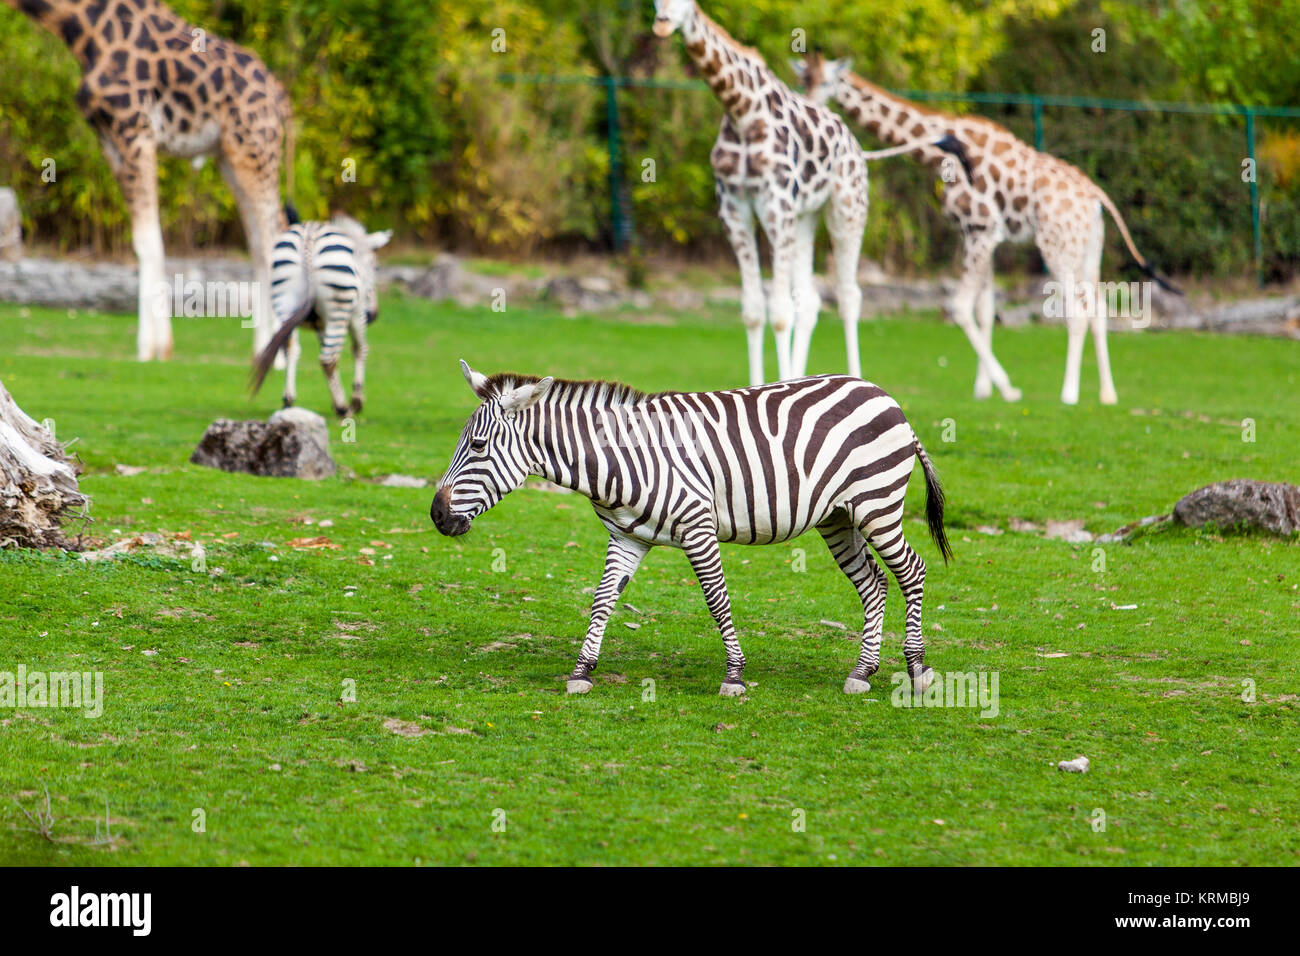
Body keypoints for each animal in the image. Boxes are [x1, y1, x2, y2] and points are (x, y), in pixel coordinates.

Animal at [4, 0, 292, 362]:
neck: (79, 24)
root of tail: (281, 97)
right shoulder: (109, 138)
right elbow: (146, 236)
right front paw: (157, 346)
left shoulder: (134, 128)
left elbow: (146, 239)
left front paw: (150, 349)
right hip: (231, 155)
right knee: (260, 241)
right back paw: (266, 349)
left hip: (254, 149)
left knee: (274, 237)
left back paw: (281, 354)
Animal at [251, 214, 392, 416]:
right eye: (376, 267)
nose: (373, 315)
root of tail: (308, 237)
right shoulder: (356, 314)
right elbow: (359, 349)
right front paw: (355, 401)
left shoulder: (320, 324)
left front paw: (337, 397)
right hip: (338, 309)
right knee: (328, 359)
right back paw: (344, 408)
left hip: (285, 302)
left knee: (291, 349)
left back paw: (288, 400)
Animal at [432, 361, 952, 697]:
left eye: (477, 446)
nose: (436, 515)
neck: (619, 458)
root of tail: (882, 394)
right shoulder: (627, 537)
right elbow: (602, 600)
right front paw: (582, 671)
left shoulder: (698, 527)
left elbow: (717, 601)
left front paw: (735, 675)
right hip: (839, 517)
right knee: (874, 583)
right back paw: (862, 672)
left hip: (877, 504)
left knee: (912, 572)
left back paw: (917, 669)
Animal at [797, 53, 1178, 405]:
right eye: (804, 80)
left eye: (826, 82)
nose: (810, 107)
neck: (940, 152)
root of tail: (1097, 197)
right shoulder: (985, 236)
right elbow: (985, 308)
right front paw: (985, 388)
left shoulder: (979, 229)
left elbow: (961, 307)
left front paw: (1007, 388)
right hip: (1088, 249)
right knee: (1097, 308)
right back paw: (1107, 394)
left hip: (1056, 246)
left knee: (1077, 311)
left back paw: (1068, 393)